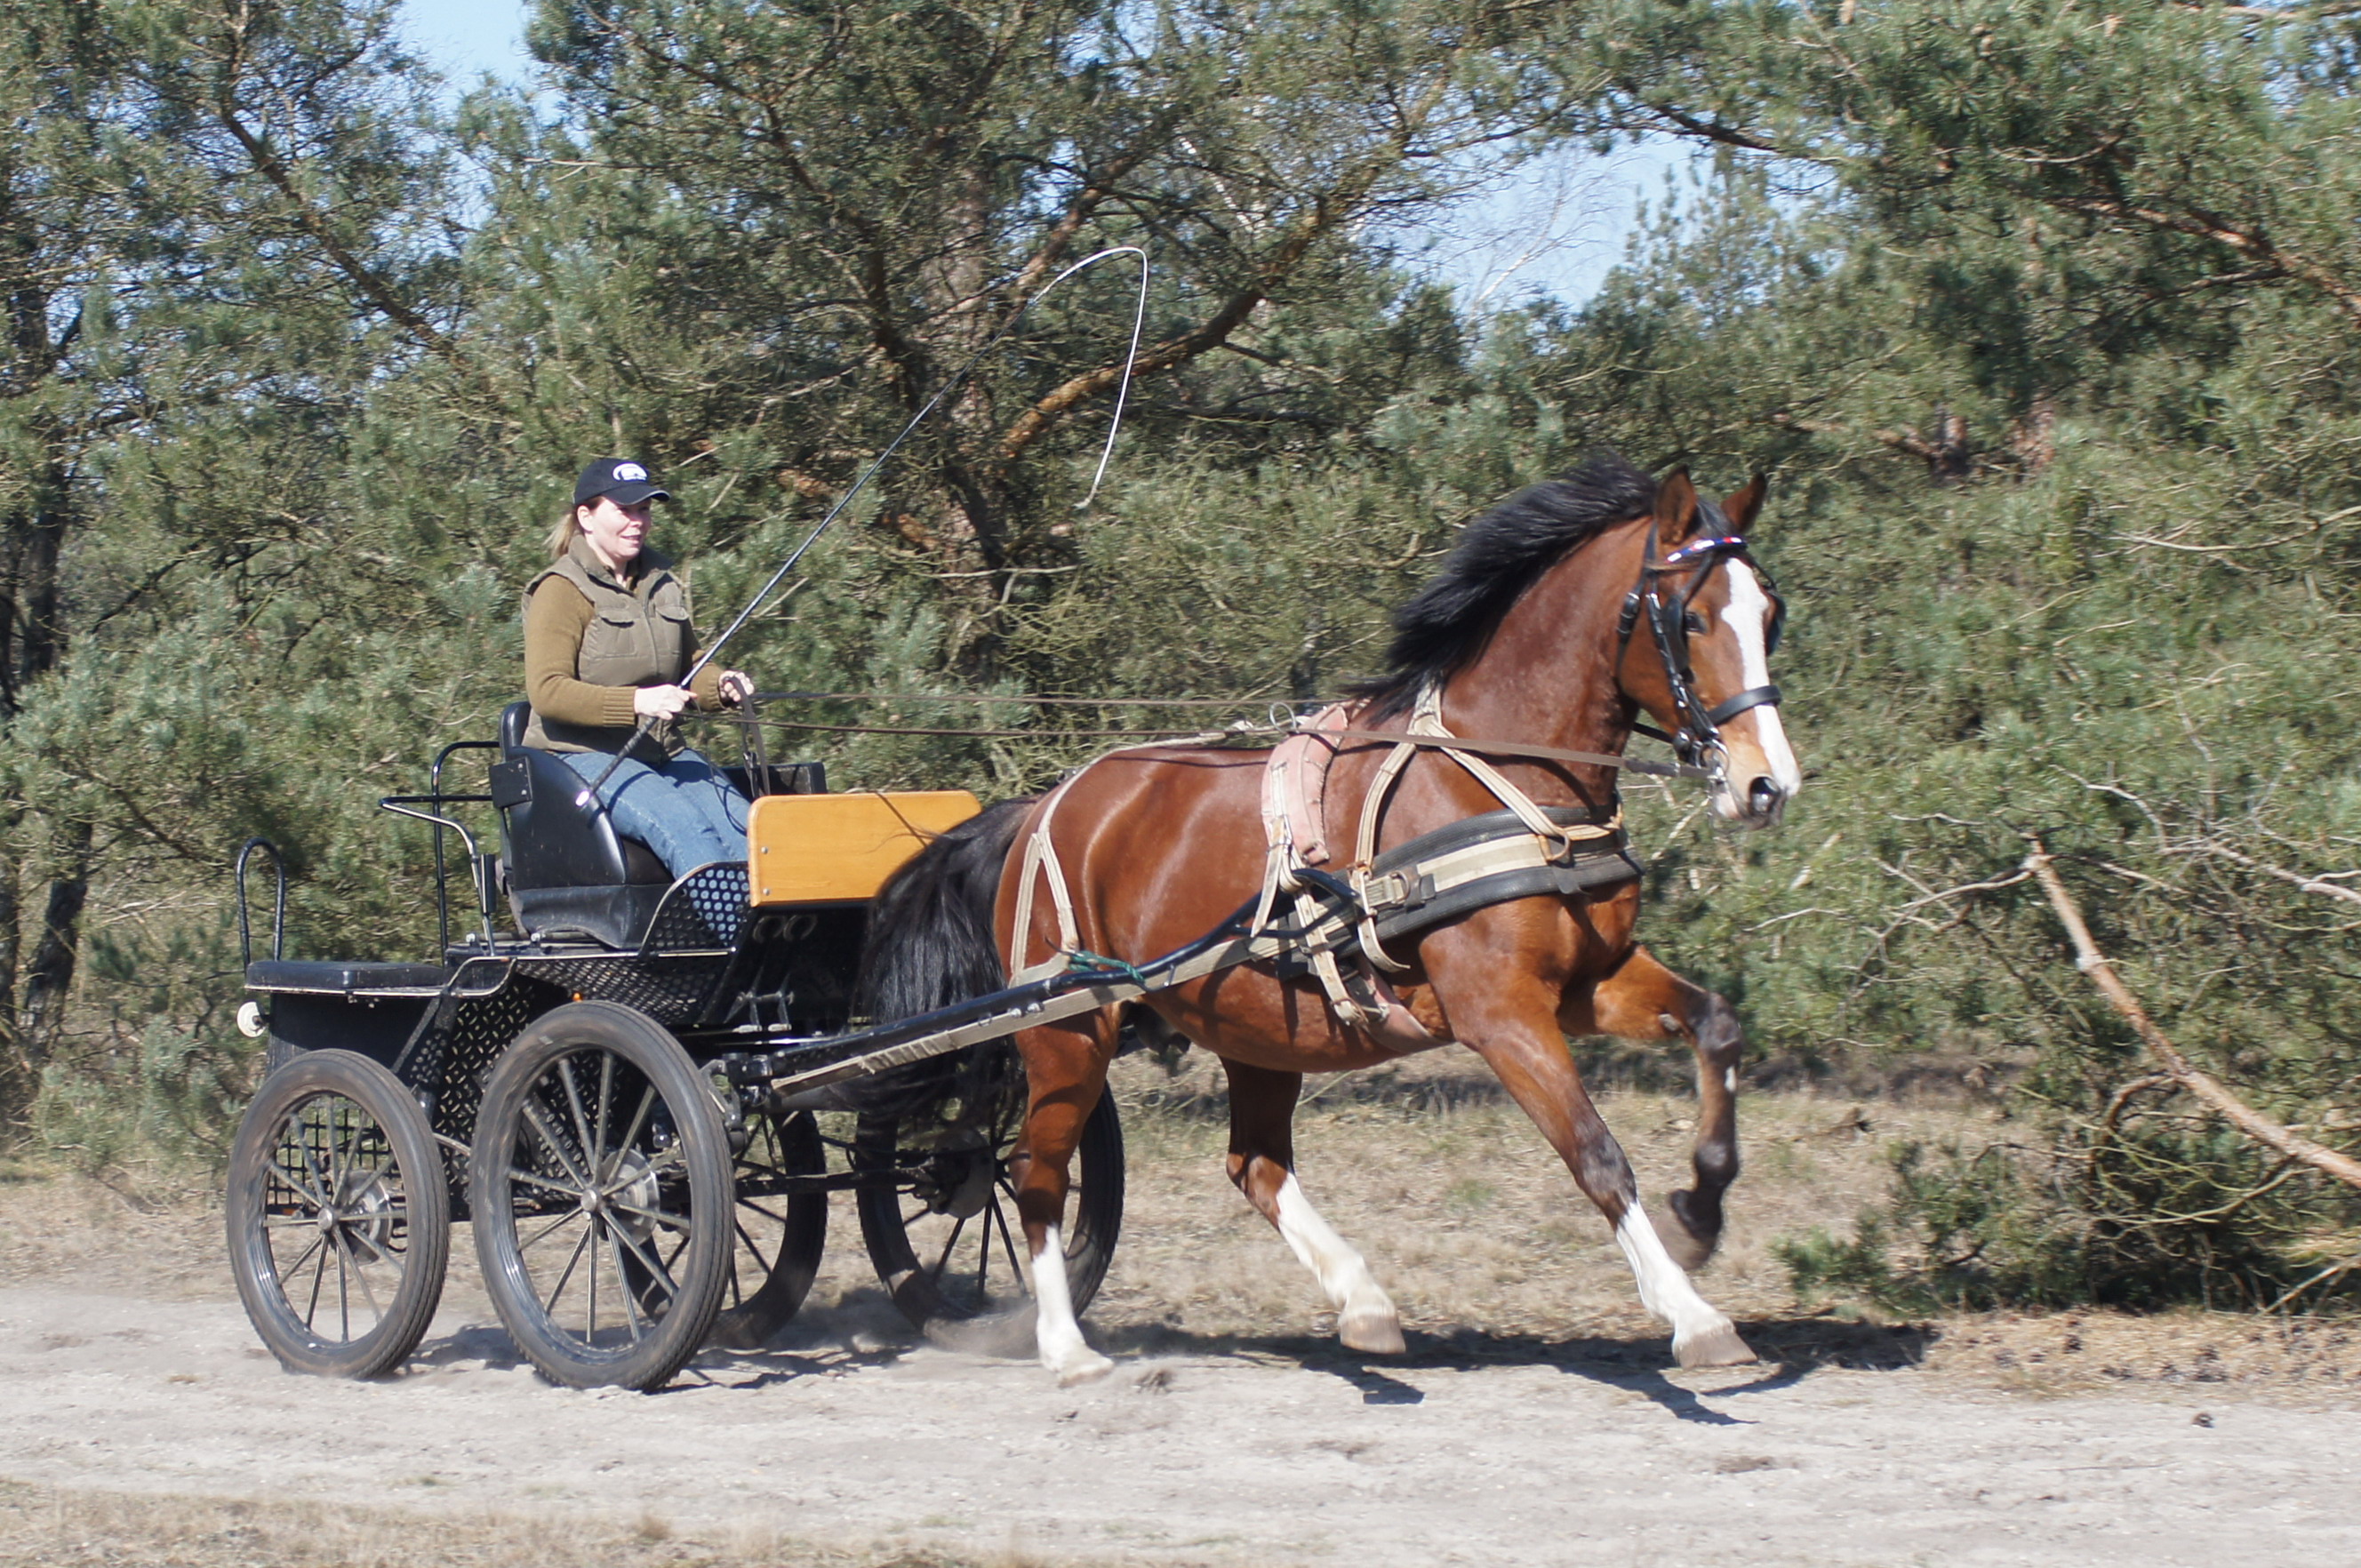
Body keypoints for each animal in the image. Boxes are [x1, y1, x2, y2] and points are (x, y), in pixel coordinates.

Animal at [866, 453, 1799, 1382]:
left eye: (1770, 613)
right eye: (1693, 617)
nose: (1768, 783)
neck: (1503, 778)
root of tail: (1040, 809)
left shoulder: (1586, 983)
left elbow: (1717, 1026)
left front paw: (1701, 1209)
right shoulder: (1500, 1013)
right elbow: (1596, 1152)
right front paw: (1690, 1312)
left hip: (1256, 1030)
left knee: (1254, 1164)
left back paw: (1363, 1303)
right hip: (1068, 1034)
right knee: (1037, 1172)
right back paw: (1063, 1344)